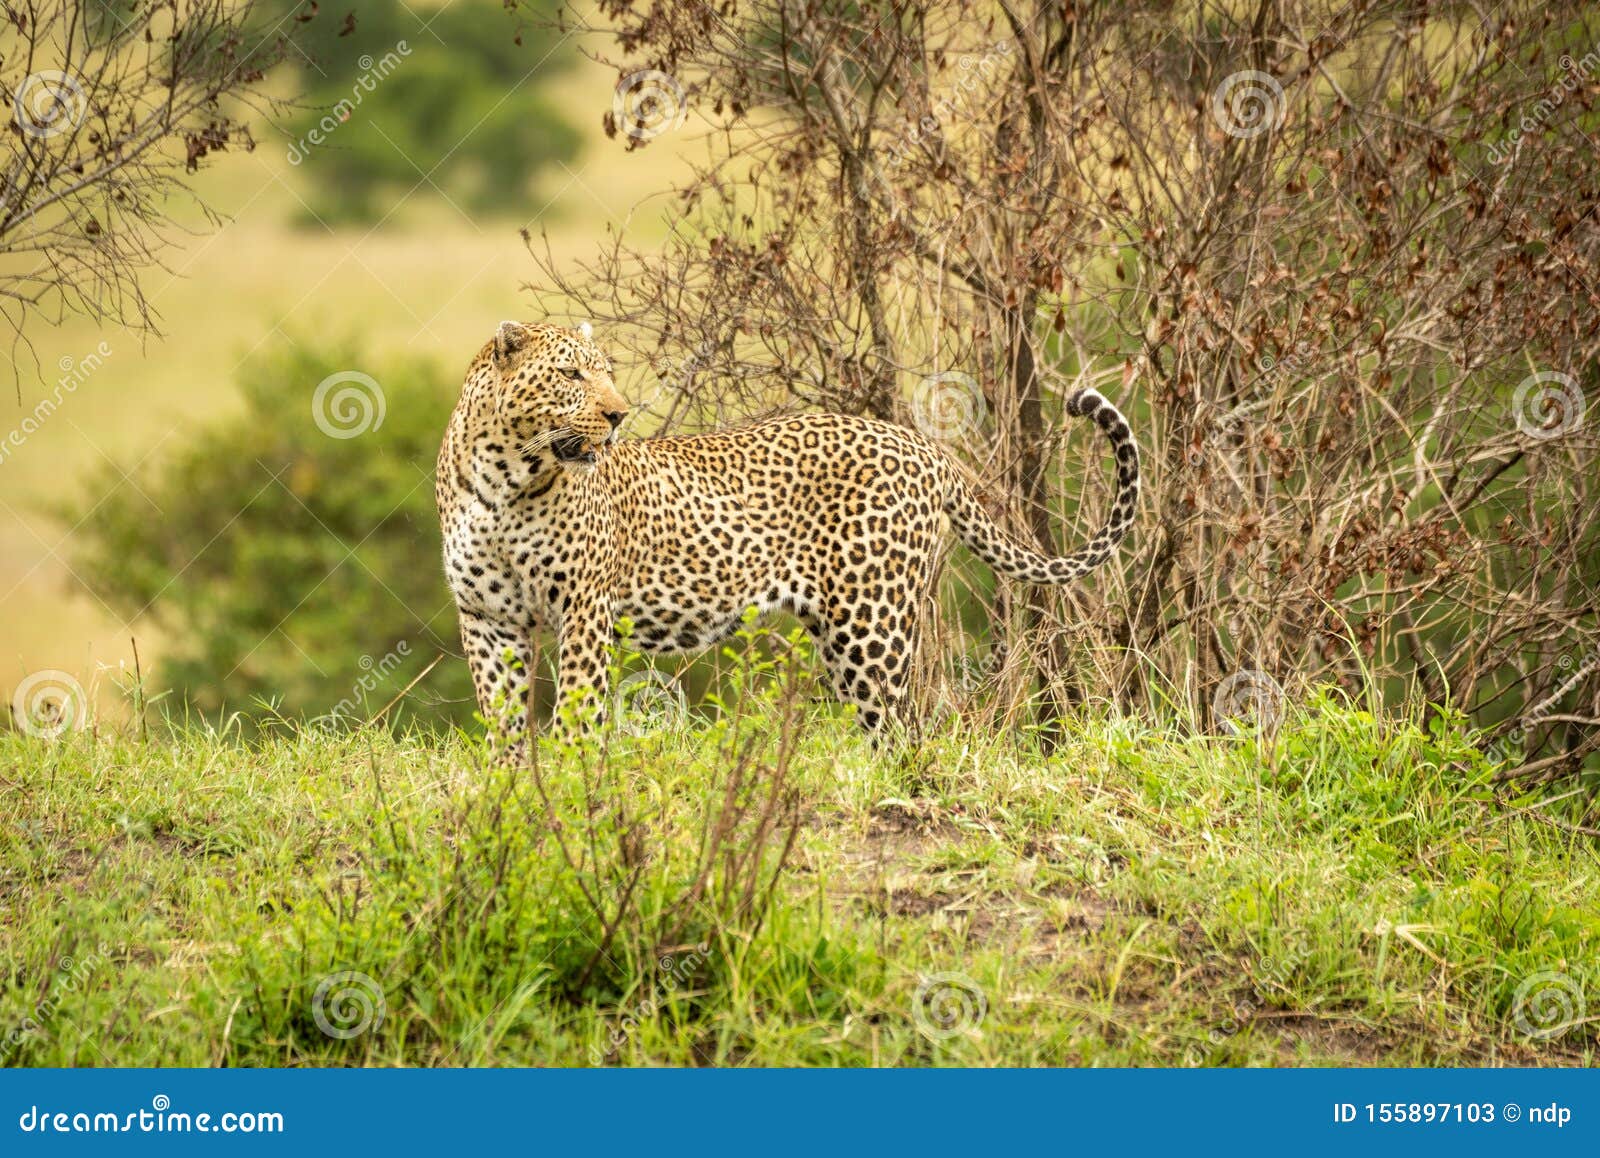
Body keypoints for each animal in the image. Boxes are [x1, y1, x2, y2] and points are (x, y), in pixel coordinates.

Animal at [436, 319, 1140, 747]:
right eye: (571, 376)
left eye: (604, 371)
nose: (616, 414)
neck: (505, 479)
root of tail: (923, 446)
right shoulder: (487, 619)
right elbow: (500, 714)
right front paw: (510, 782)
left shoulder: (584, 609)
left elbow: (577, 708)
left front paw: (566, 775)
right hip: (838, 634)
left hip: (874, 624)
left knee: (904, 730)